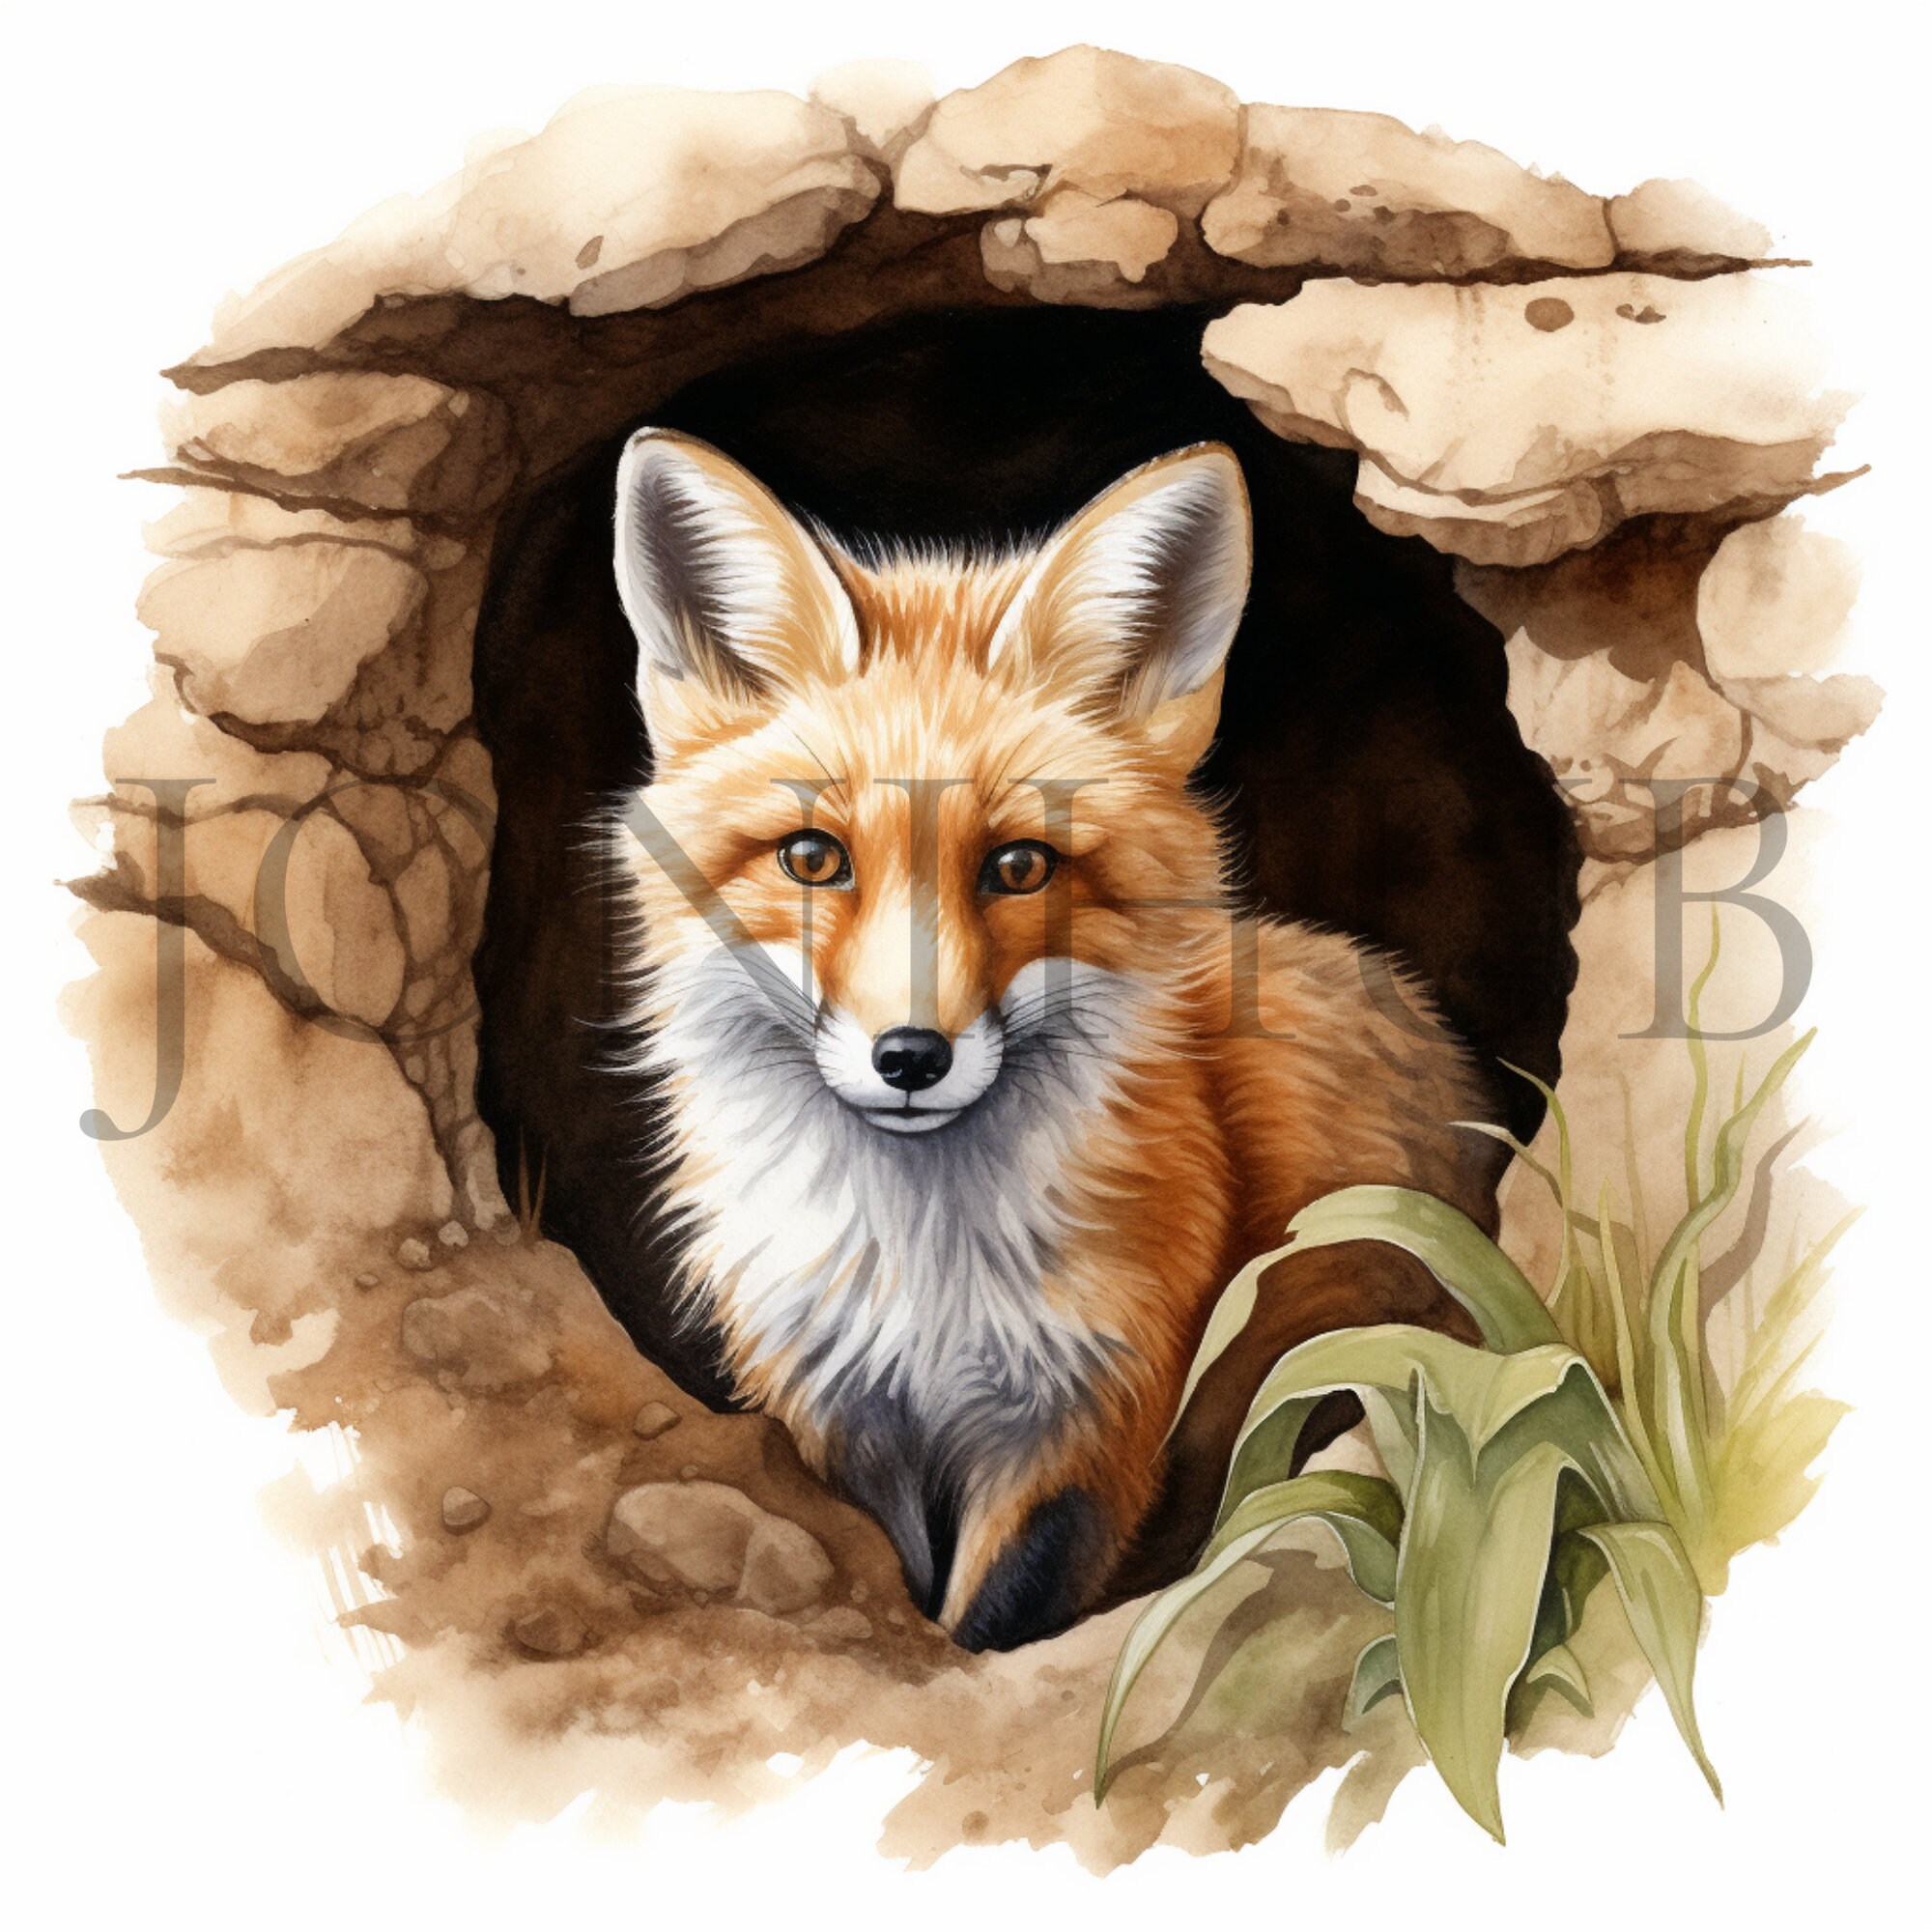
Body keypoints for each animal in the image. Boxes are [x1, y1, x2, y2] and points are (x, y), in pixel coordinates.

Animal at [609, 427, 1500, 1652]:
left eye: (1018, 865)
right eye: (812, 857)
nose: (909, 1057)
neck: (924, 1275)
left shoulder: (1089, 1426)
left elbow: (989, 1614)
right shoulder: (841, 1413)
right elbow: (910, 1579)